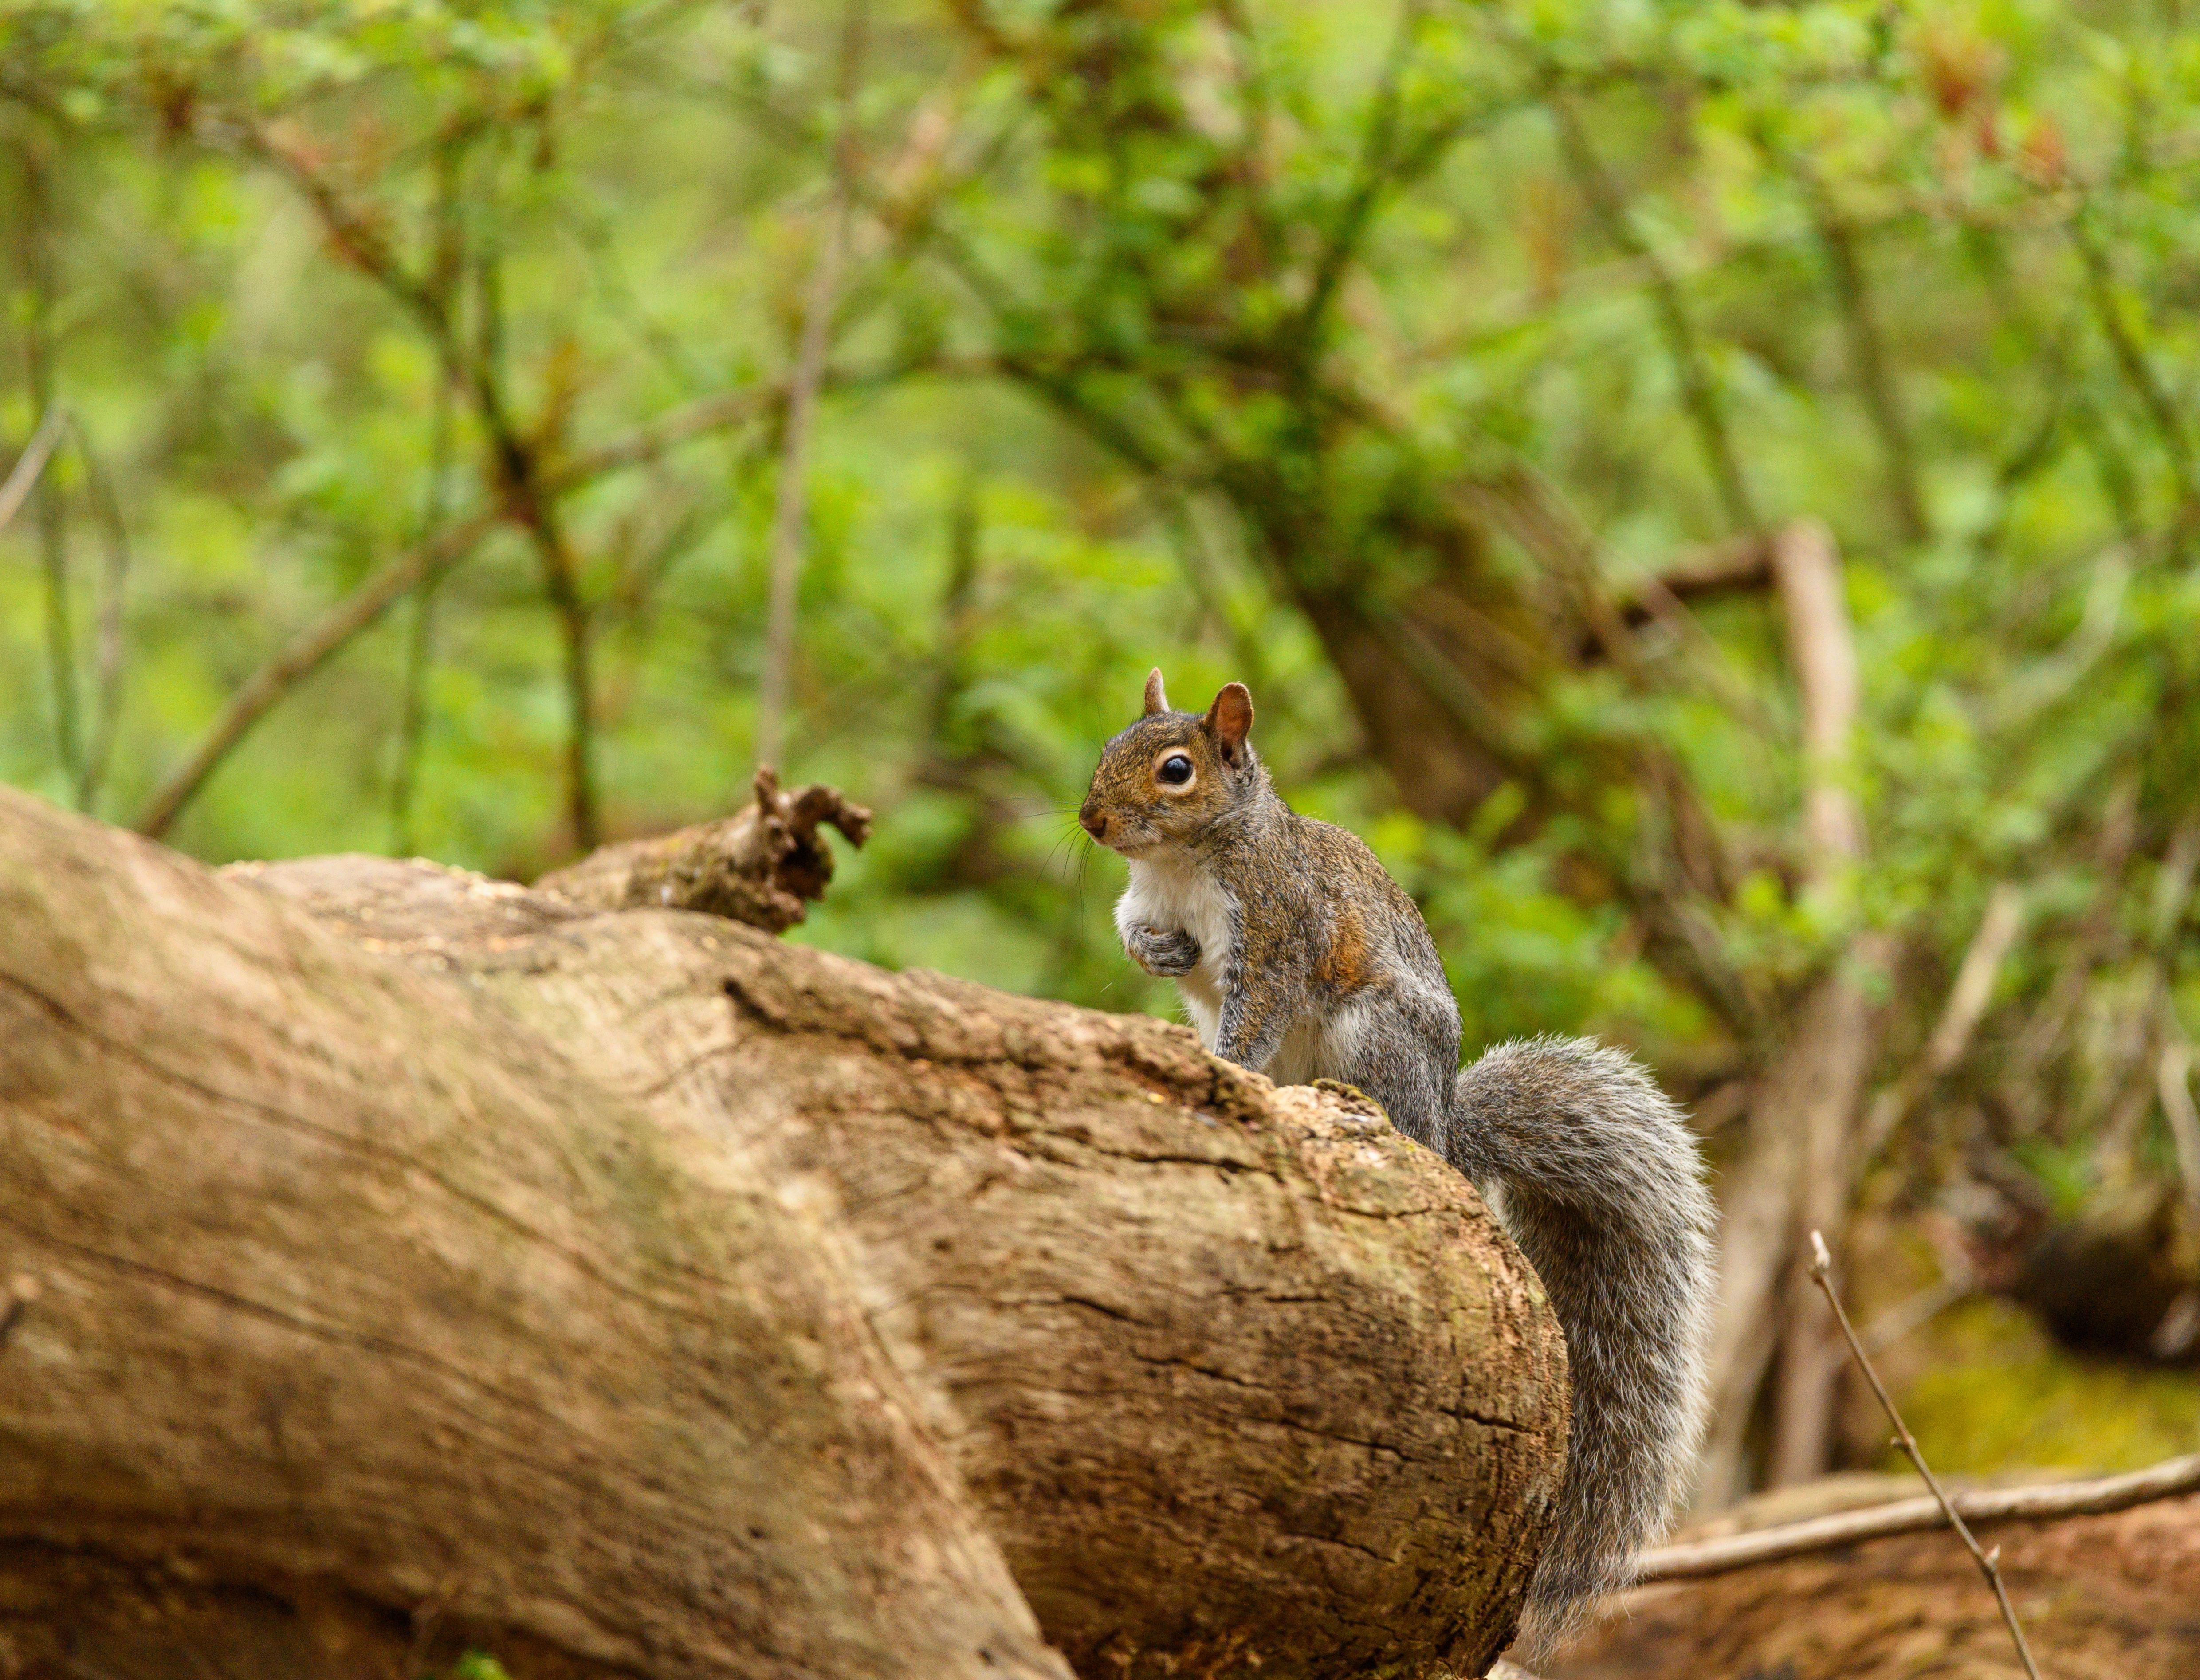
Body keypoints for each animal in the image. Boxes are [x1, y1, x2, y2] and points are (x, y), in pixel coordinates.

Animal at [1079, 669, 1716, 1637]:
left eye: (1176, 769)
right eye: (1114, 739)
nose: (1090, 820)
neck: (1183, 863)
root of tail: (1445, 1123)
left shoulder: (1279, 932)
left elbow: (1254, 1017)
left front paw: (1225, 1068)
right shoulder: (1148, 903)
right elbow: (1134, 932)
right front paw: (1157, 951)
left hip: (1368, 1033)